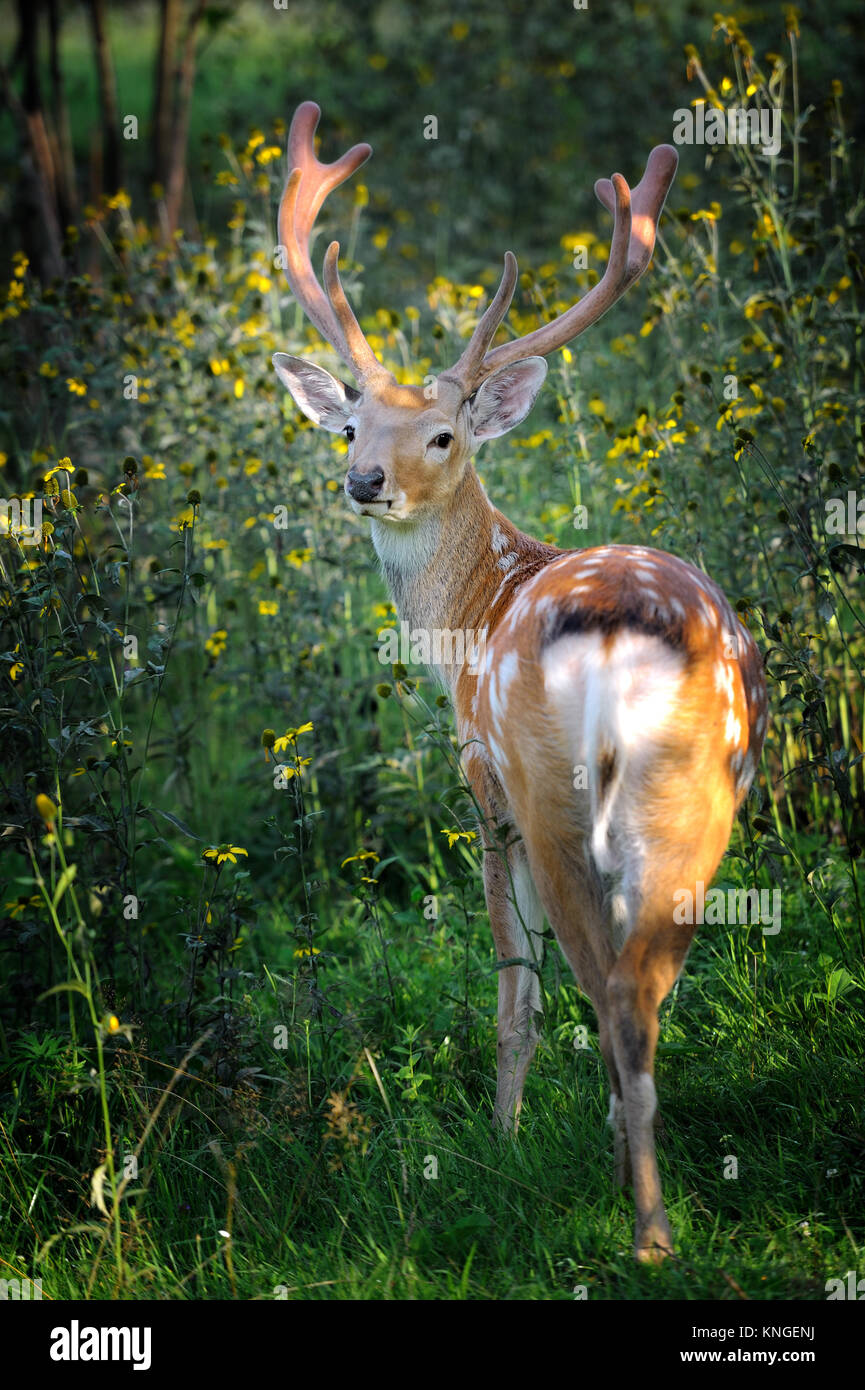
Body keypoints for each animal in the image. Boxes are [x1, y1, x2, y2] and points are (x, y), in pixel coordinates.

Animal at [270, 101, 769, 1263]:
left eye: (442, 434)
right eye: (350, 424)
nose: (363, 480)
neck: (468, 615)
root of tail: (629, 625)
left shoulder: (480, 785)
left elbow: (513, 982)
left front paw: (498, 1136)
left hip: (551, 787)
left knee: (606, 984)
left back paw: (644, 1231)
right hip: (699, 786)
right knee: (651, 982)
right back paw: (644, 1191)